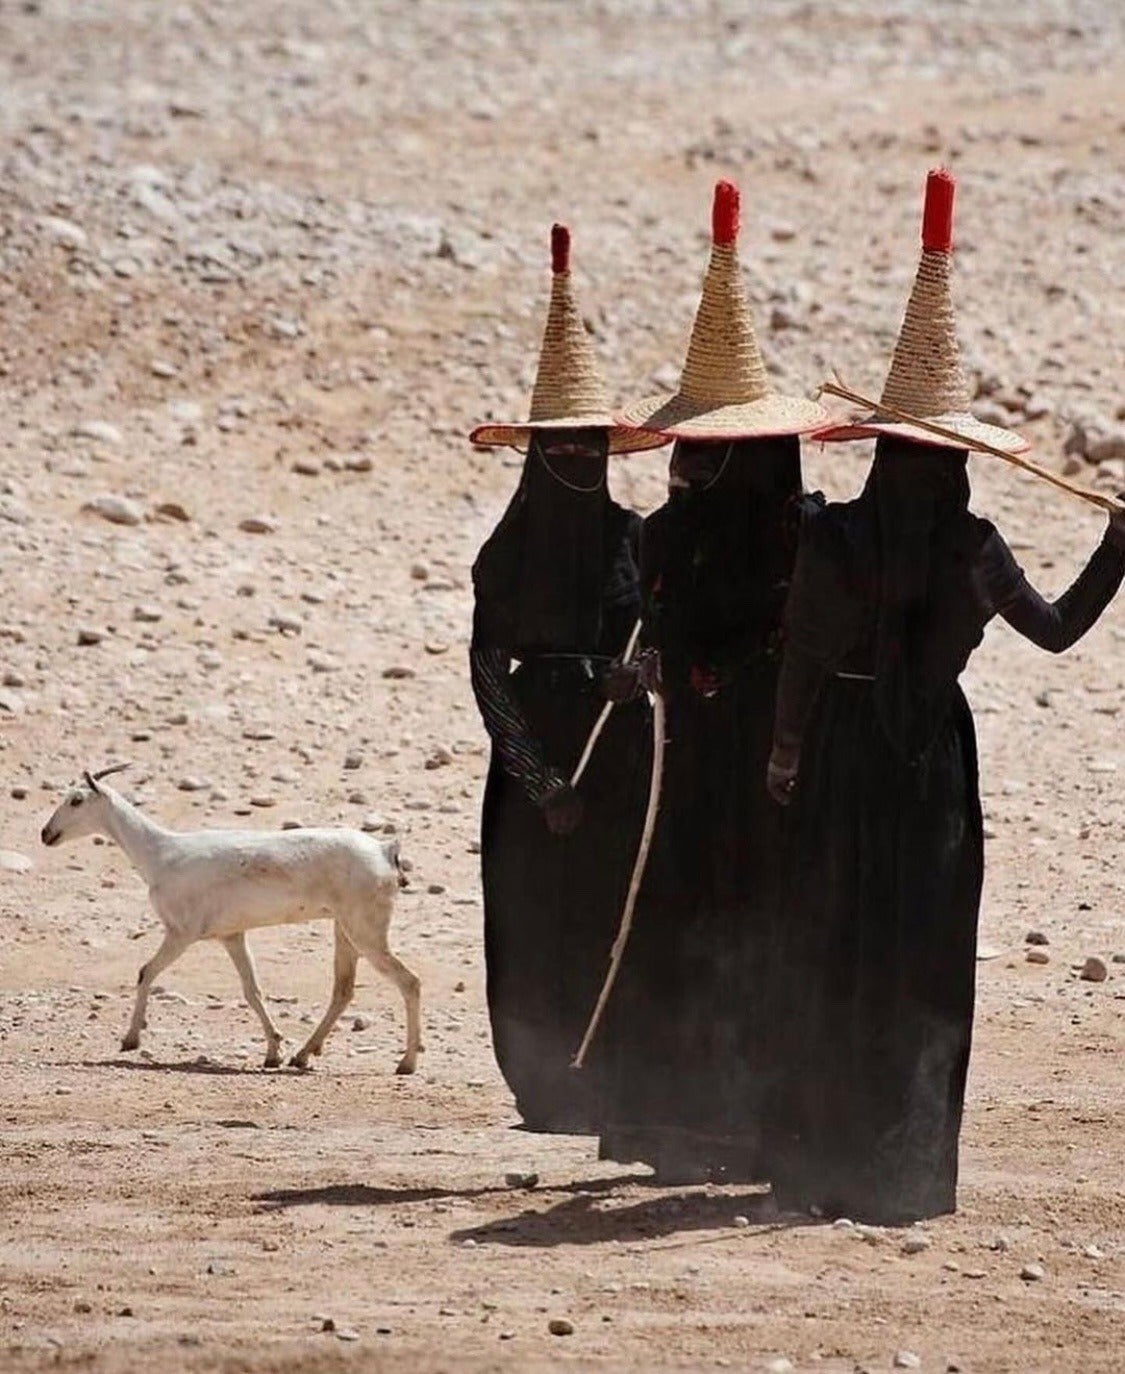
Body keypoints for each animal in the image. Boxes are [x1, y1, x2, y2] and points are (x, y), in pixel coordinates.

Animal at [40, 766, 421, 1074]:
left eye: (76, 799)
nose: (45, 833)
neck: (162, 854)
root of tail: (386, 850)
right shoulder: (232, 936)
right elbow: (252, 990)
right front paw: (273, 1053)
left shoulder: (180, 933)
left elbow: (145, 972)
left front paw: (130, 1040)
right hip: (346, 931)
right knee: (343, 990)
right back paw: (301, 1056)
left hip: (366, 932)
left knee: (409, 981)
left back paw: (406, 1063)